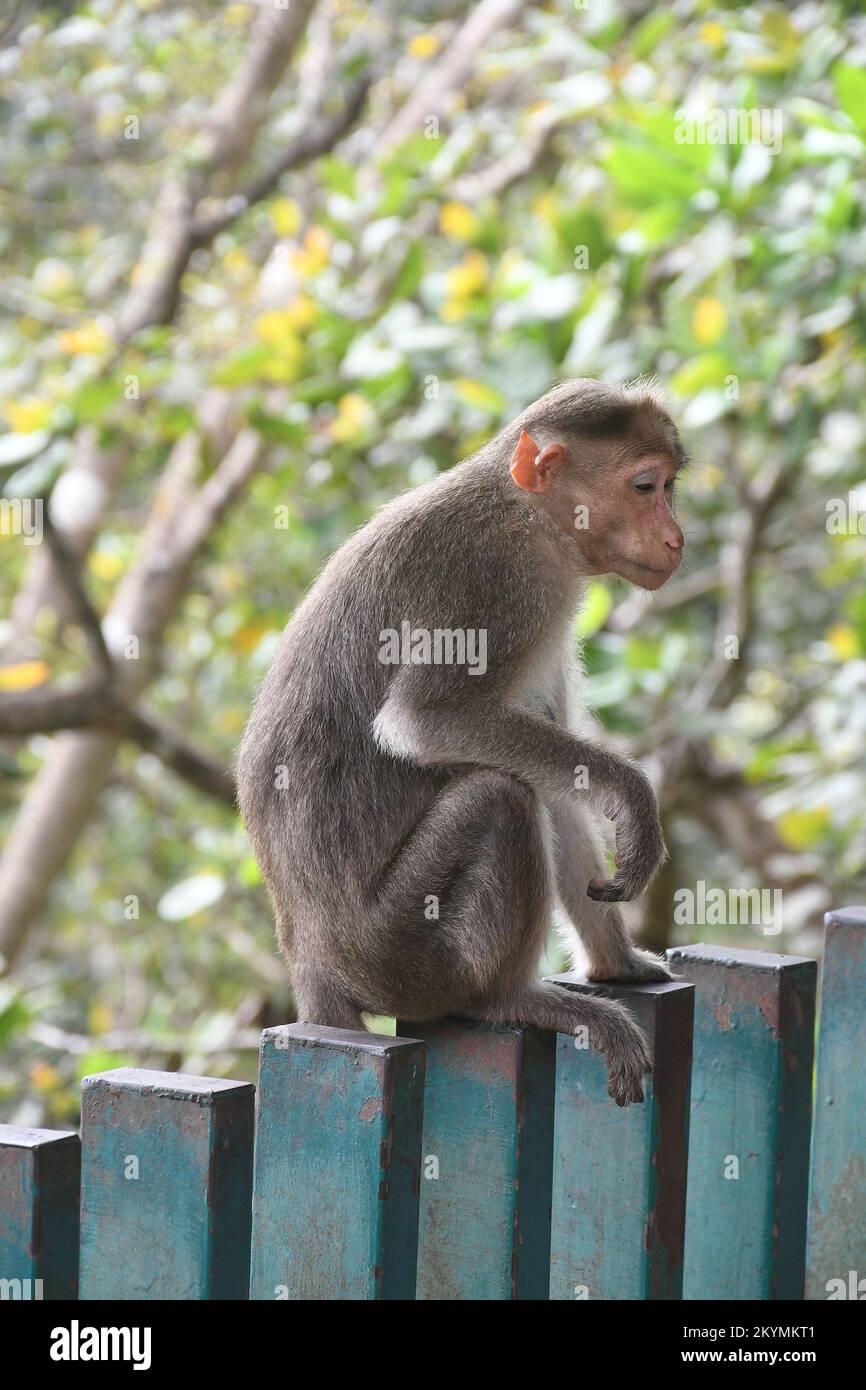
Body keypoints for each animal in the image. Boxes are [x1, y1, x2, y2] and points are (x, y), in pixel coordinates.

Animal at [237, 378, 686, 1106]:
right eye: (645, 486)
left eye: (671, 484)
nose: (676, 537)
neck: (530, 517)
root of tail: (309, 958)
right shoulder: (492, 585)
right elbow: (425, 721)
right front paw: (633, 795)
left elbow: (559, 771)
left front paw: (618, 963)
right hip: (398, 951)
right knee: (499, 797)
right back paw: (507, 998)